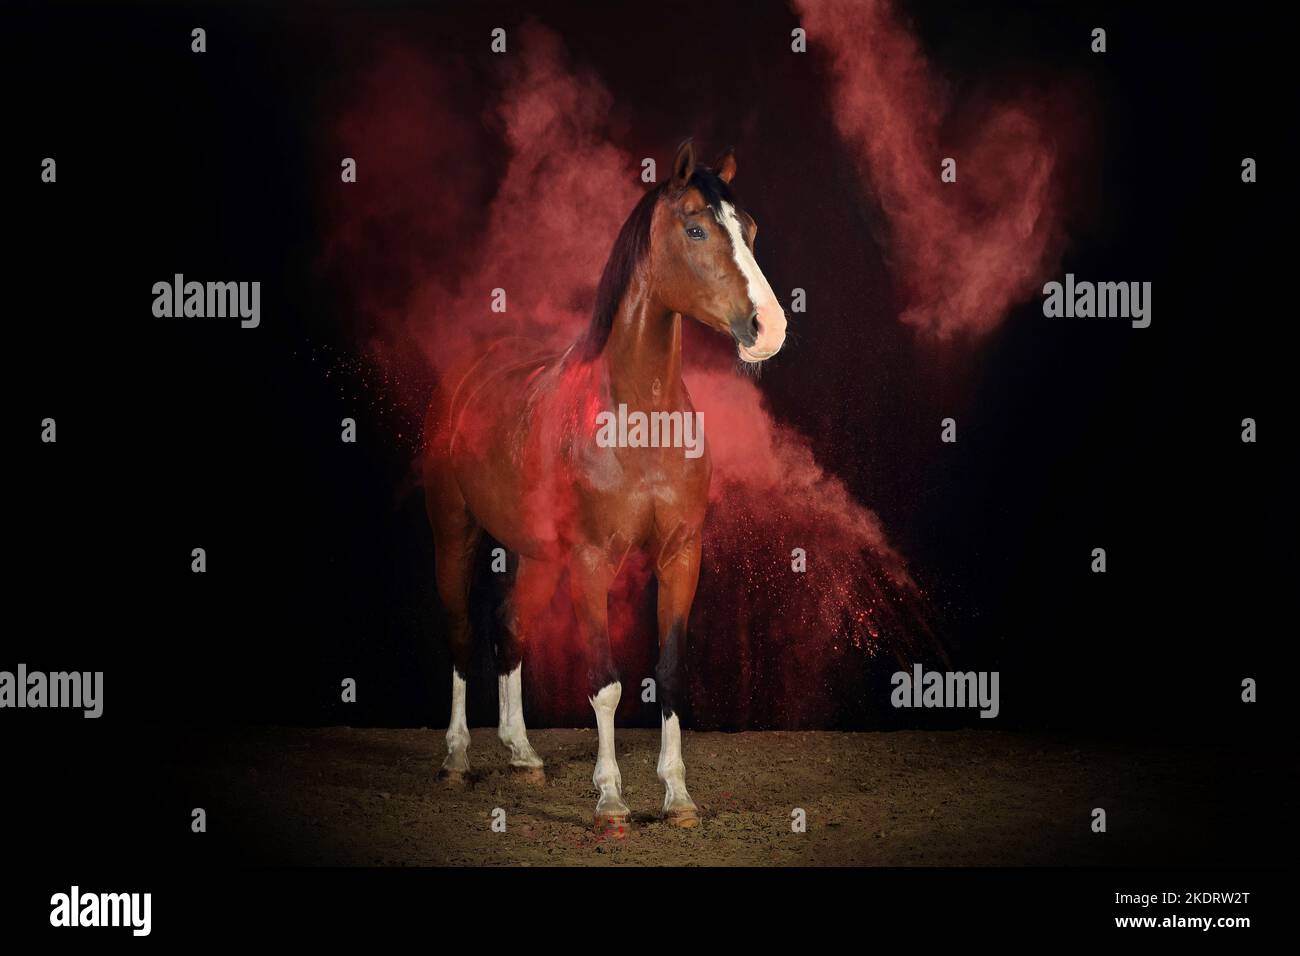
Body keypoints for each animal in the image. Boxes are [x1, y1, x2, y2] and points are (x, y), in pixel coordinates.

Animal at [421, 139, 786, 830]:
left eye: (749, 229)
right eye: (696, 229)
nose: (769, 328)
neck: (638, 419)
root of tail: (471, 369)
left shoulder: (681, 556)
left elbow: (669, 671)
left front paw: (677, 796)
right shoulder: (592, 562)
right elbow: (607, 683)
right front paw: (611, 799)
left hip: (538, 554)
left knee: (510, 626)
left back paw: (522, 753)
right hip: (455, 530)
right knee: (458, 632)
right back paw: (456, 760)